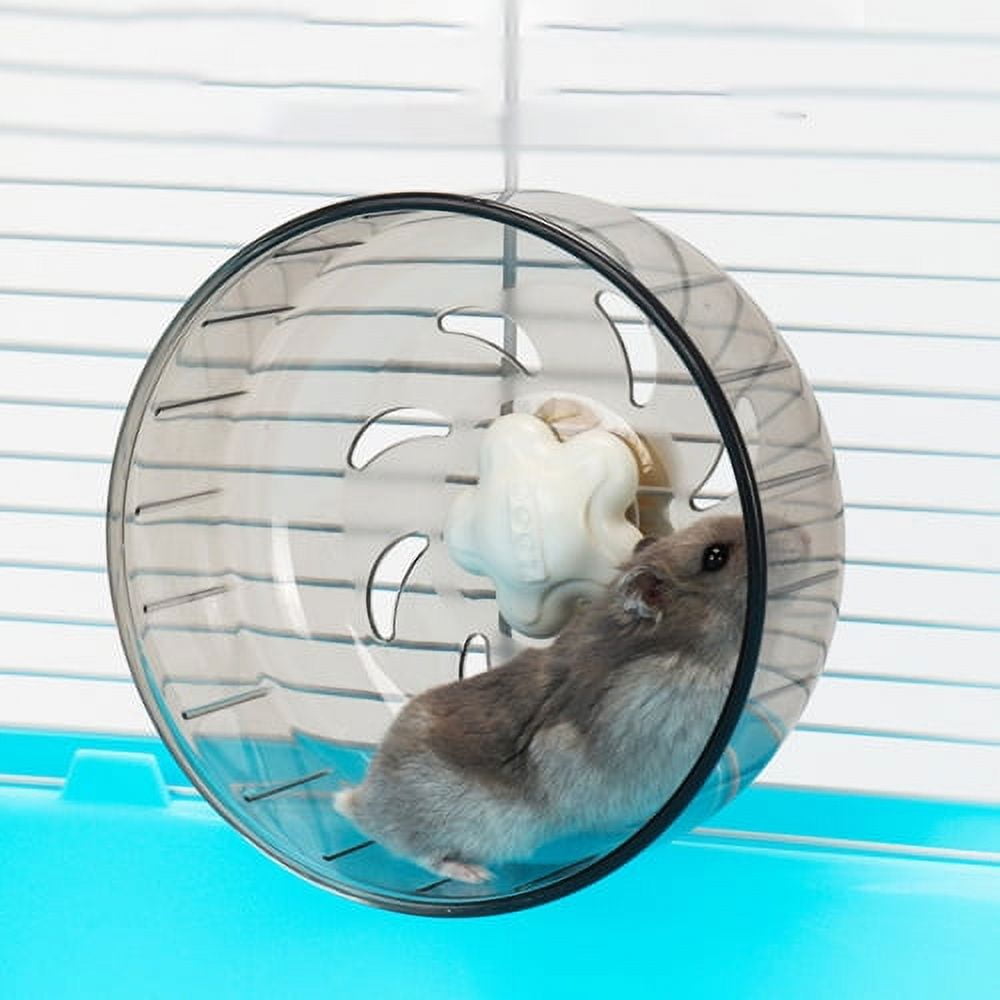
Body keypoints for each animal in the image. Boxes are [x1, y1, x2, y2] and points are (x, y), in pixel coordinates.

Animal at [334, 514, 751, 884]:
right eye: (715, 556)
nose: (763, 525)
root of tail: (361, 798)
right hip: (444, 822)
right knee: (418, 851)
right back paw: (475, 875)